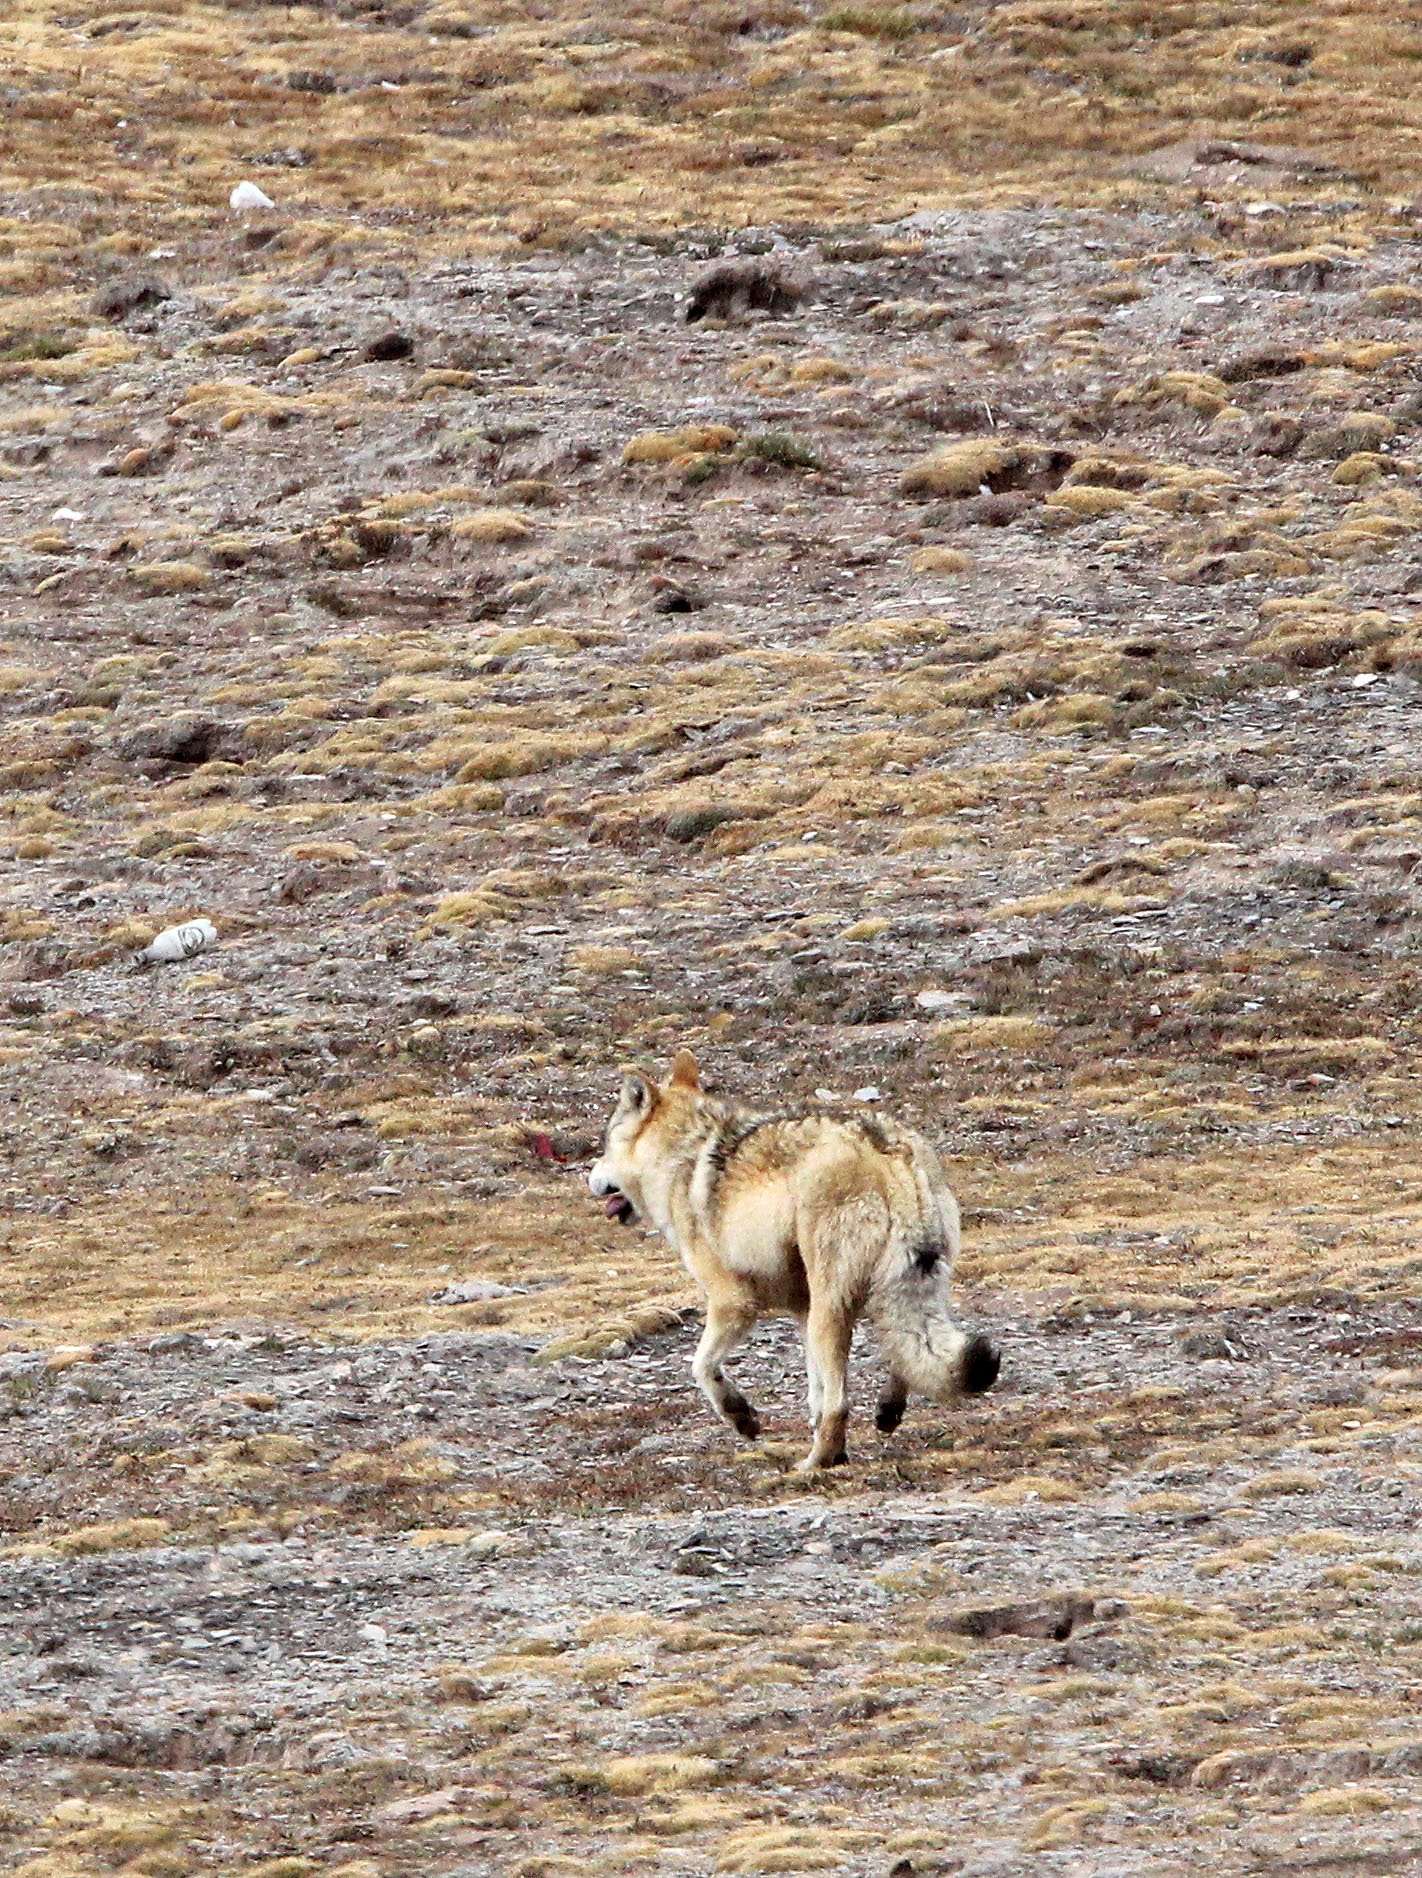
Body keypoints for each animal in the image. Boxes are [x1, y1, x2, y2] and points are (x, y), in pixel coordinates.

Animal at [588, 1050, 999, 1470]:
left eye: (604, 1145)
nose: (591, 1178)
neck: (681, 1156)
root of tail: (890, 1150)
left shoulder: (733, 1302)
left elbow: (701, 1367)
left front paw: (742, 1417)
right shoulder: (800, 1308)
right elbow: (813, 1393)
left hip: (830, 1311)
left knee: (841, 1402)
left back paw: (816, 1462)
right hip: (890, 1297)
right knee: (905, 1358)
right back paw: (884, 1413)